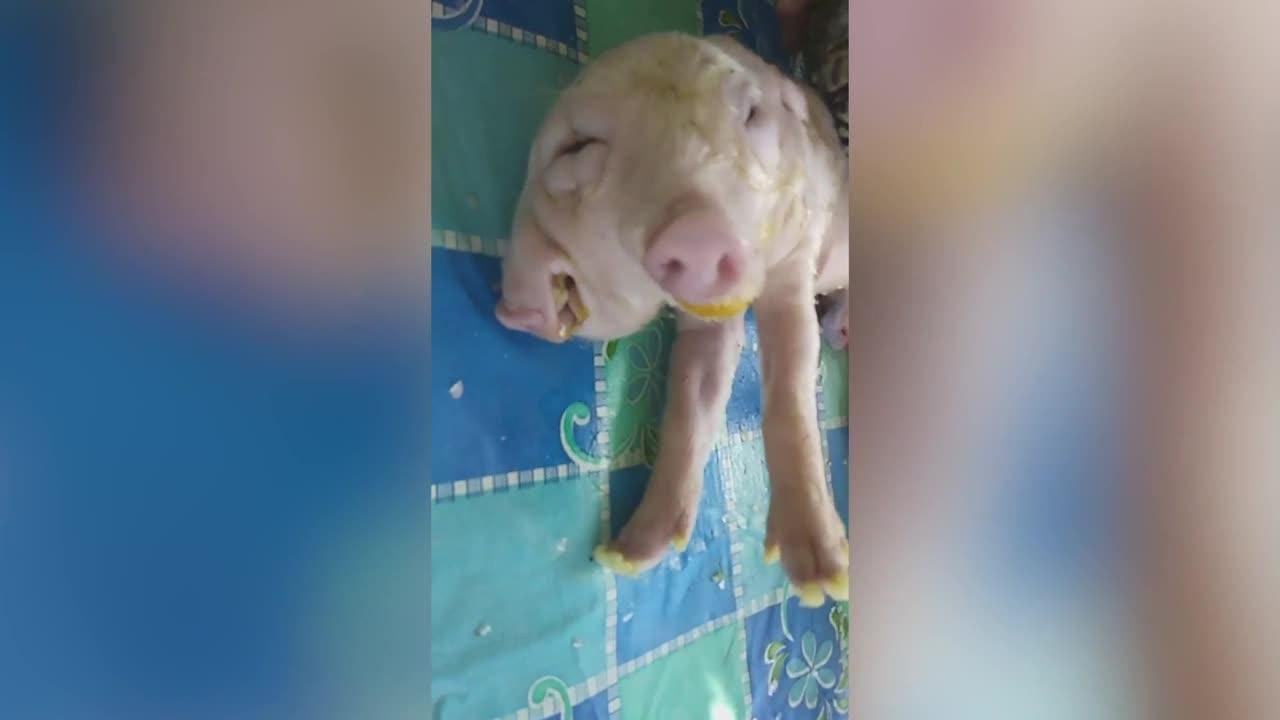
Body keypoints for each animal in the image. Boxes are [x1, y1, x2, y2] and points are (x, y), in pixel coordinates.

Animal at [495, 33, 849, 606]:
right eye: (580, 146)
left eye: (751, 113)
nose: (696, 232)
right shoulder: (702, 325)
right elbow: (693, 393)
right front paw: (625, 555)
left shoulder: (798, 252)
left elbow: (793, 380)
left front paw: (822, 580)